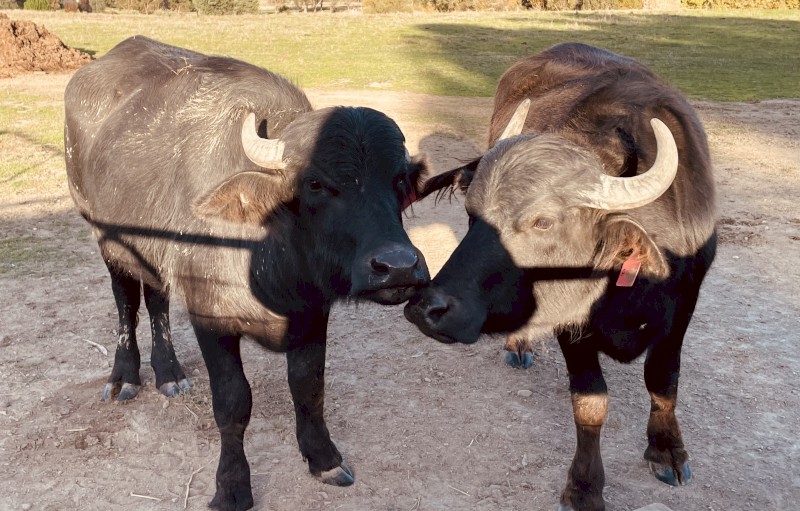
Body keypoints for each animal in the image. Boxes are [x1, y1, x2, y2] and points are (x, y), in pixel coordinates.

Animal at [64, 36, 430, 511]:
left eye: (401, 180)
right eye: (315, 183)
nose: (398, 266)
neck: (270, 255)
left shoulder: (313, 314)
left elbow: (309, 387)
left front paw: (324, 458)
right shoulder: (210, 316)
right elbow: (233, 401)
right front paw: (232, 486)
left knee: (156, 295)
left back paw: (170, 373)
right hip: (104, 236)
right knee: (125, 298)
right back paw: (124, 377)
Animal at [404, 43, 716, 511]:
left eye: (543, 222)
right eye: (472, 213)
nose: (426, 309)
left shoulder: (684, 303)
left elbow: (664, 379)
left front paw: (667, 451)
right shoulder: (573, 319)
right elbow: (590, 403)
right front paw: (585, 487)